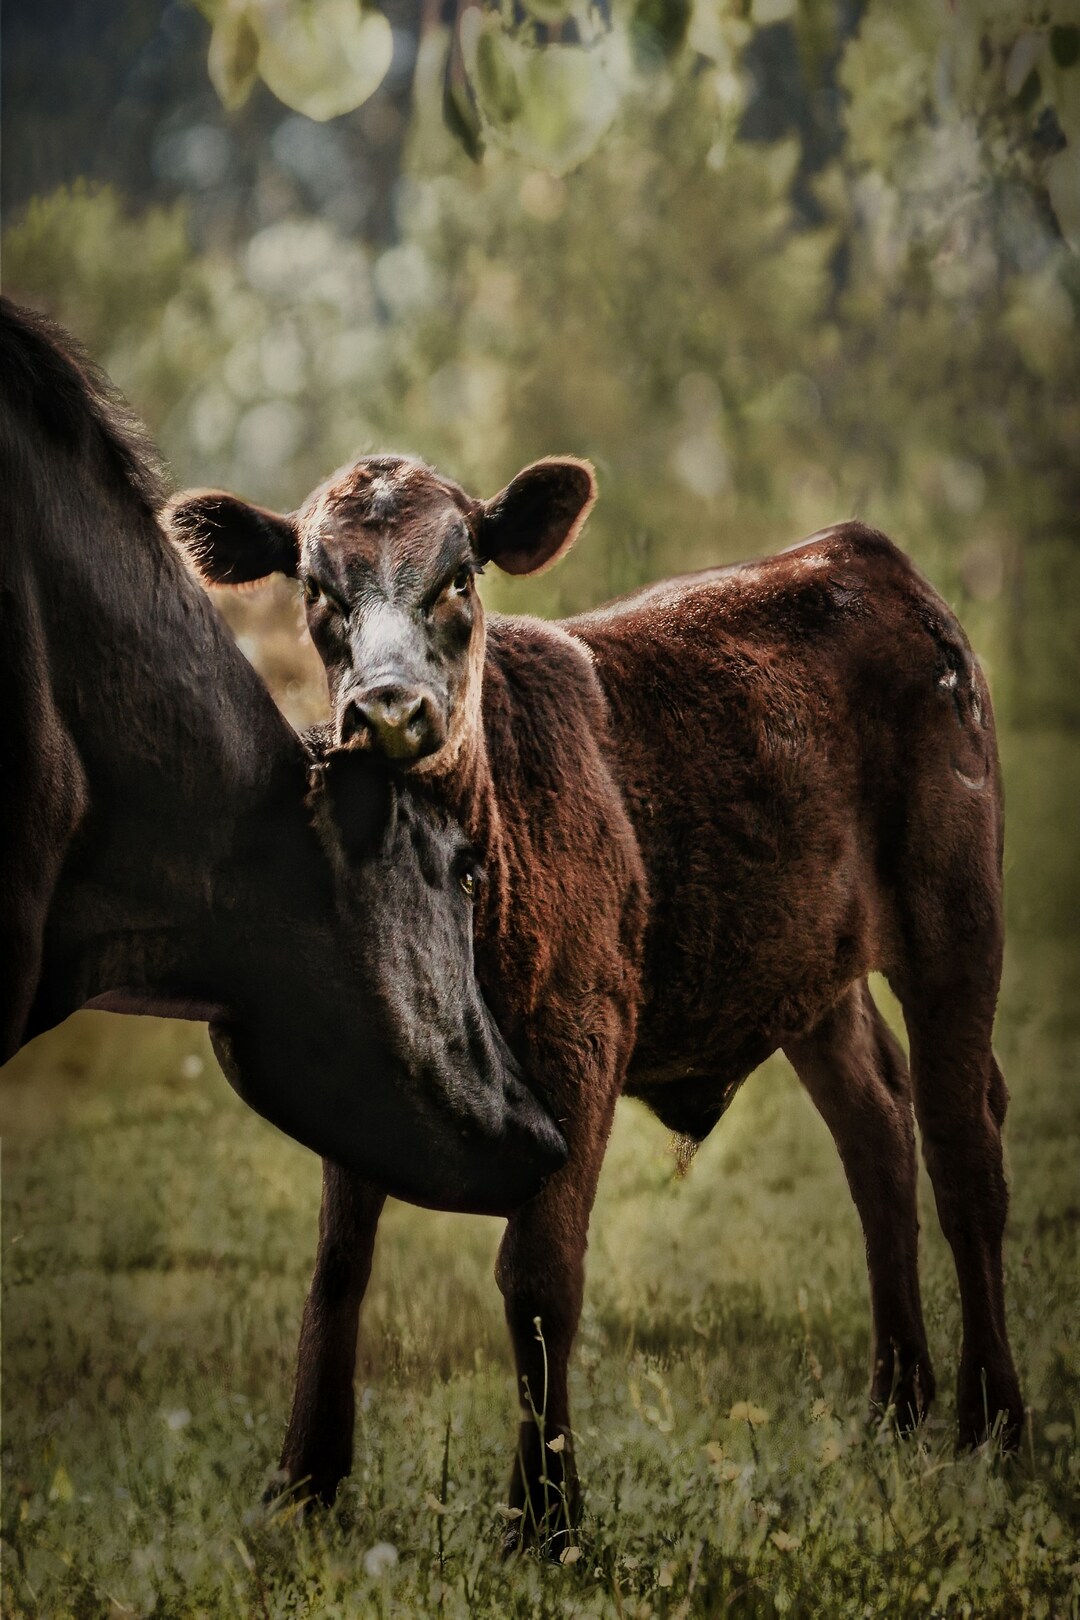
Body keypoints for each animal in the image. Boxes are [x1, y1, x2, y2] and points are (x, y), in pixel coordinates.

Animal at [168, 452, 1023, 1549]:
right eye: (316, 590)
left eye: (460, 578)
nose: (391, 711)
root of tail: (856, 553)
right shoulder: (358, 1061)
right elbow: (337, 1267)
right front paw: (303, 1485)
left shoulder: (581, 1039)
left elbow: (538, 1278)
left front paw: (544, 1519)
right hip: (804, 966)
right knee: (878, 1131)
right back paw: (894, 1411)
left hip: (955, 915)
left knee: (964, 1150)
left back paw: (992, 1427)